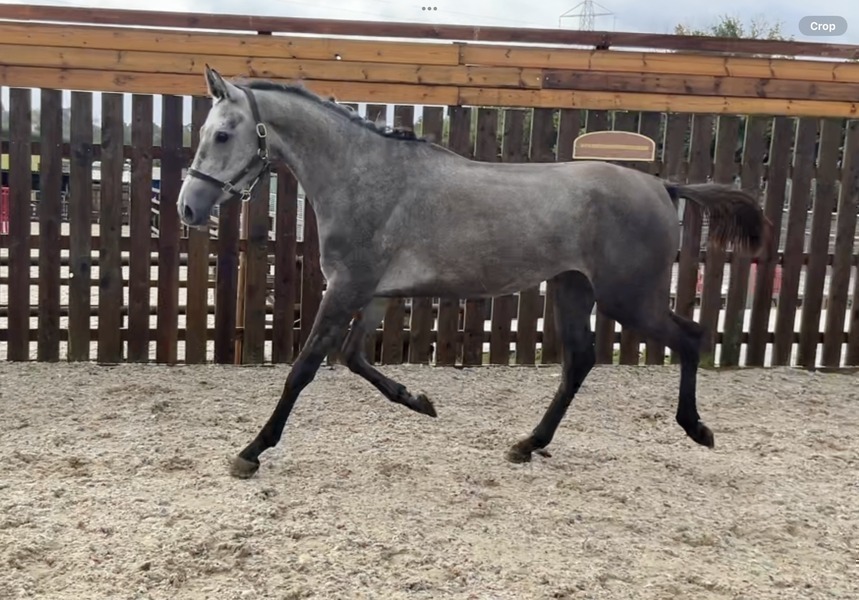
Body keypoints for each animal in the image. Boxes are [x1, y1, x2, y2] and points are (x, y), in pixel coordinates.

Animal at [177, 66, 772, 479]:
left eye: (223, 135)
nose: (188, 207)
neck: (367, 177)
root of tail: (663, 186)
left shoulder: (346, 287)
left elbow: (304, 367)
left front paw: (250, 452)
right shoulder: (374, 292)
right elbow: (353, 357)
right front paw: (420, 402)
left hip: (628, 297)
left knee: (690, 336)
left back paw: (697, 429)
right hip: (573, 288)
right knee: (580, 361)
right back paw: (527, 445)